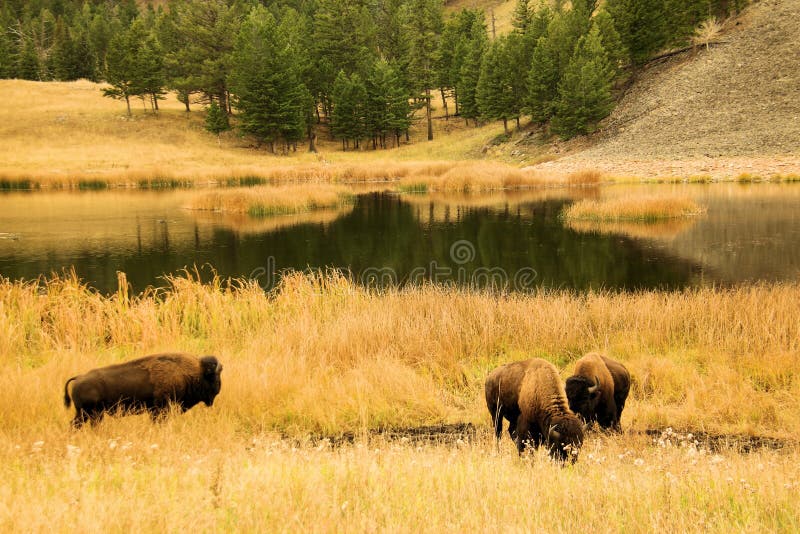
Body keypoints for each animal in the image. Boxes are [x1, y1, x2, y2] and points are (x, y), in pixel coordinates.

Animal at [64, 353, 222, 427]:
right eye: (215, 378)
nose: (218, 389)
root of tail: (78, 378)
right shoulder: (160, 409)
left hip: (86, 414)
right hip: (91, 414)